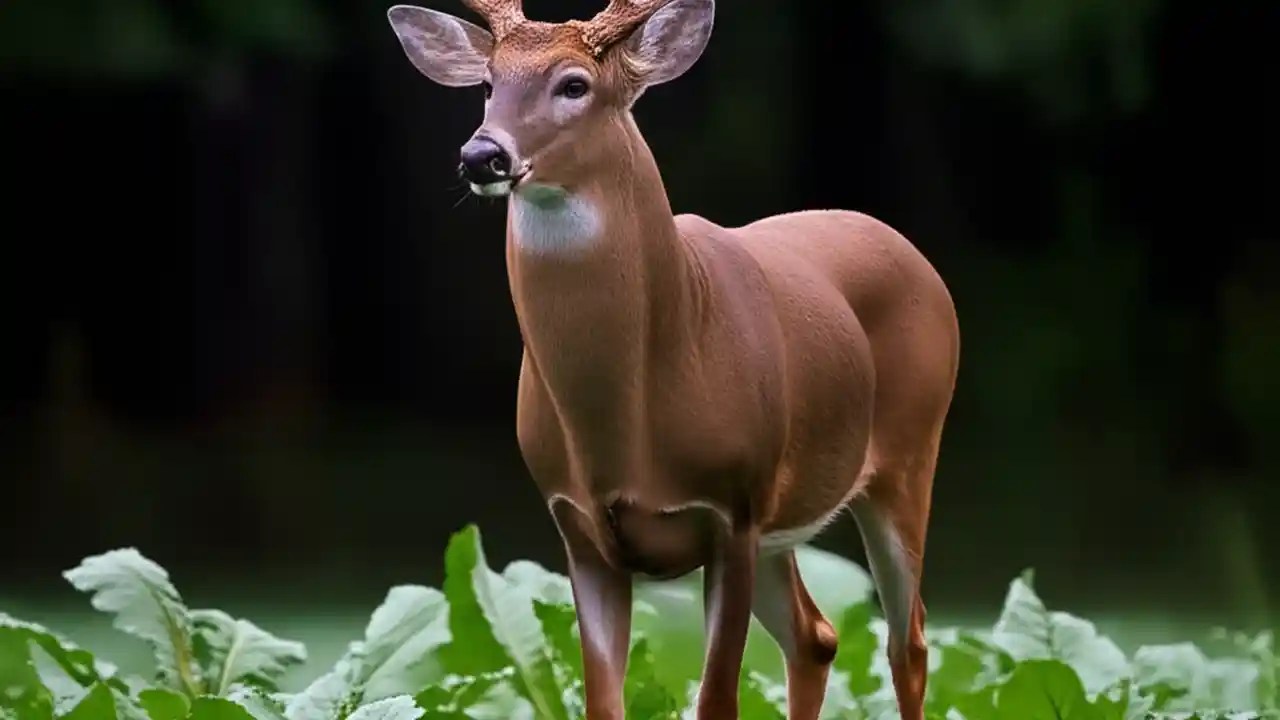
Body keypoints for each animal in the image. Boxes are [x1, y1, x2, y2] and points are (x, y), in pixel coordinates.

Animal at [386, 1, 959, 718]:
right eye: (487, 84)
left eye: (574, 84)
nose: (481, 154)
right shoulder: (579, 530)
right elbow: (603, 701)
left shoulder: (732, 508)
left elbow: (716, 700)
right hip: (784, 521)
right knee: (817, 636)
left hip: (908, 456)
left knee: (908, 641)